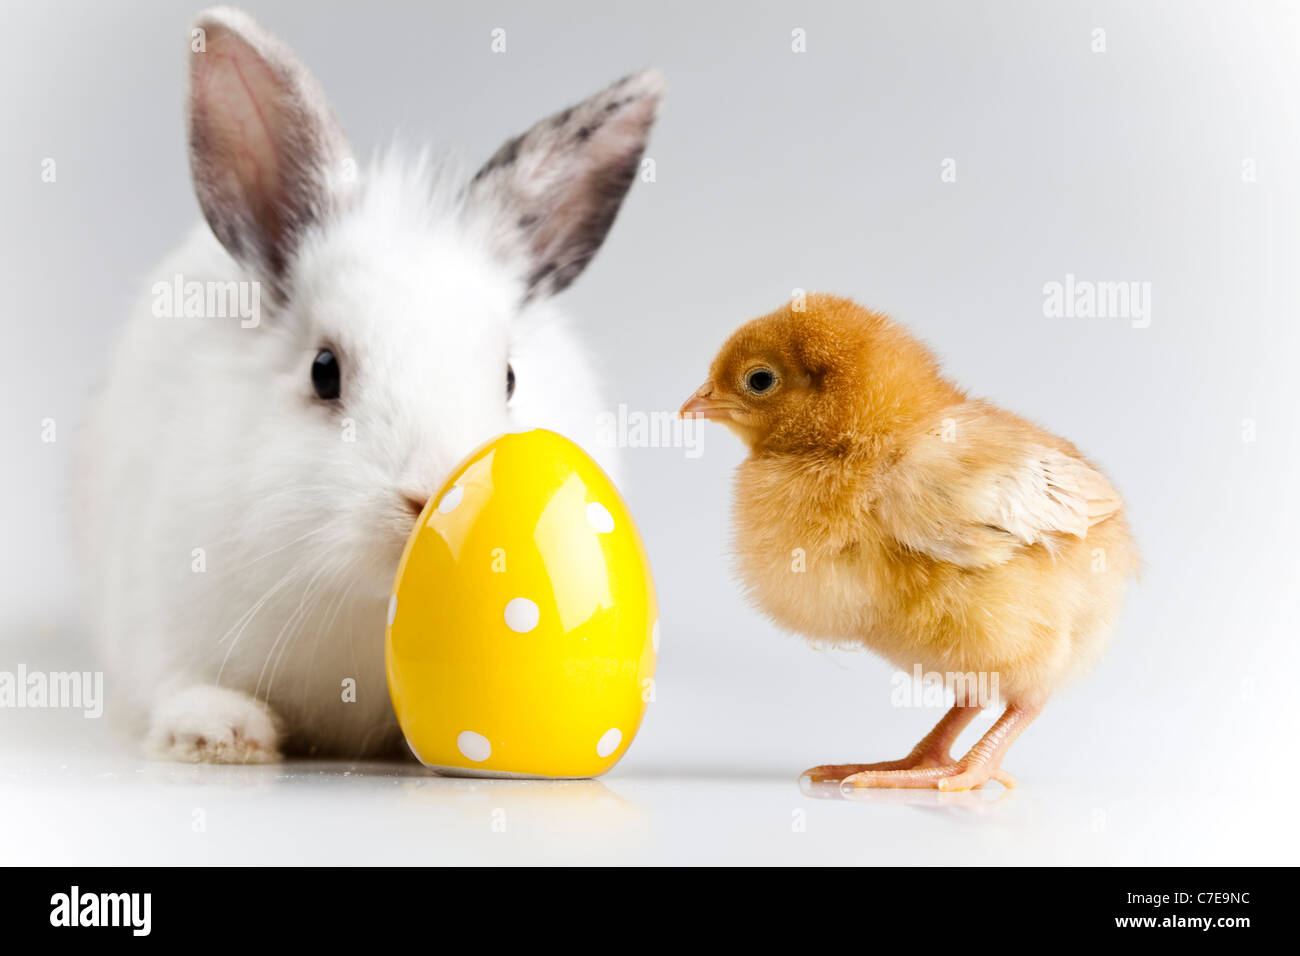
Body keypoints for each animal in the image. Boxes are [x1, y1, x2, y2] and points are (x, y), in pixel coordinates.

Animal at [77, 7, 663, 763]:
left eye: (508, 377)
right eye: (324, 370)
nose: (429, 496)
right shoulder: (160, 610)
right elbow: (181, 683)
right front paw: (222, 735)